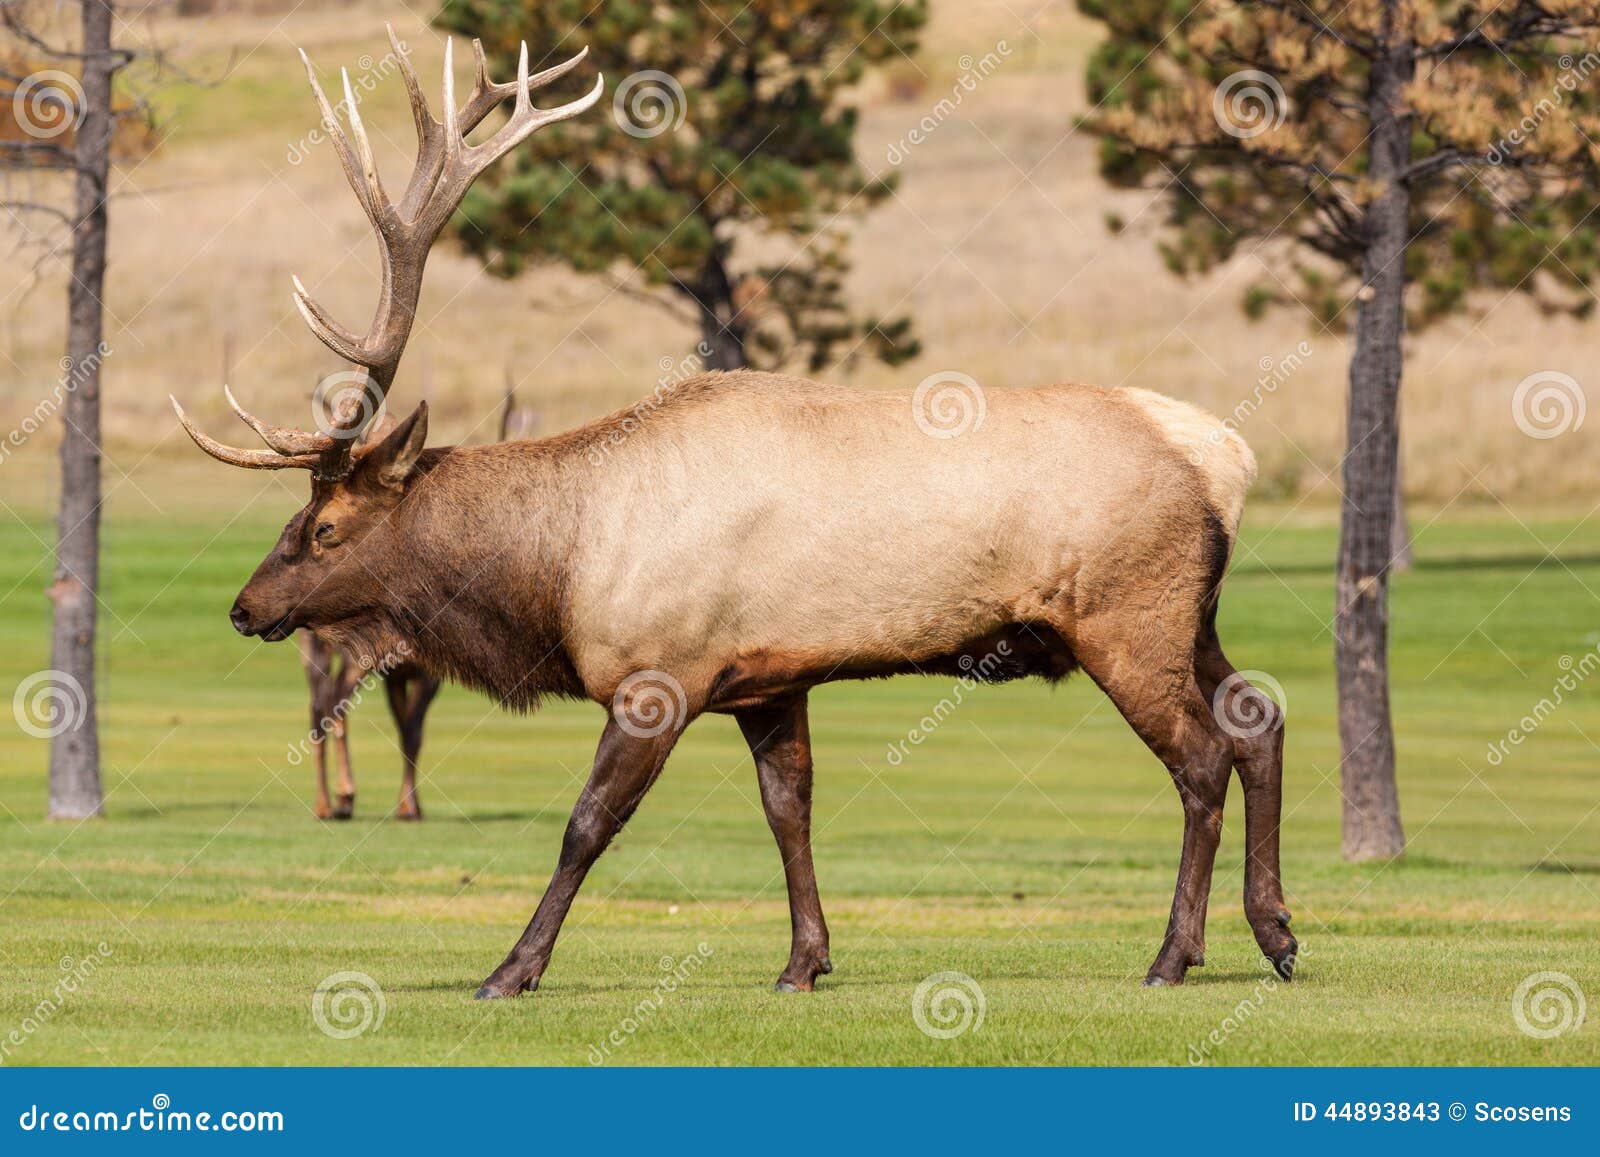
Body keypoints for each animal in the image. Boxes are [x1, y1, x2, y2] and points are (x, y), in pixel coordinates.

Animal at [172, 26, 1296, 998]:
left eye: (323, 527)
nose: (243, 605)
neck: (560, 569)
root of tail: (1228, 456)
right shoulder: (769, 676)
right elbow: (787, 809)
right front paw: (805, 959)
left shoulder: (658, 671)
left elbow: (586, 823)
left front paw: (510, 969)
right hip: (1187, 615)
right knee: (1260, 716)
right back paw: (1276, 931)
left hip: (1125, 613)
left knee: (1202, 756)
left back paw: (1173, 954)